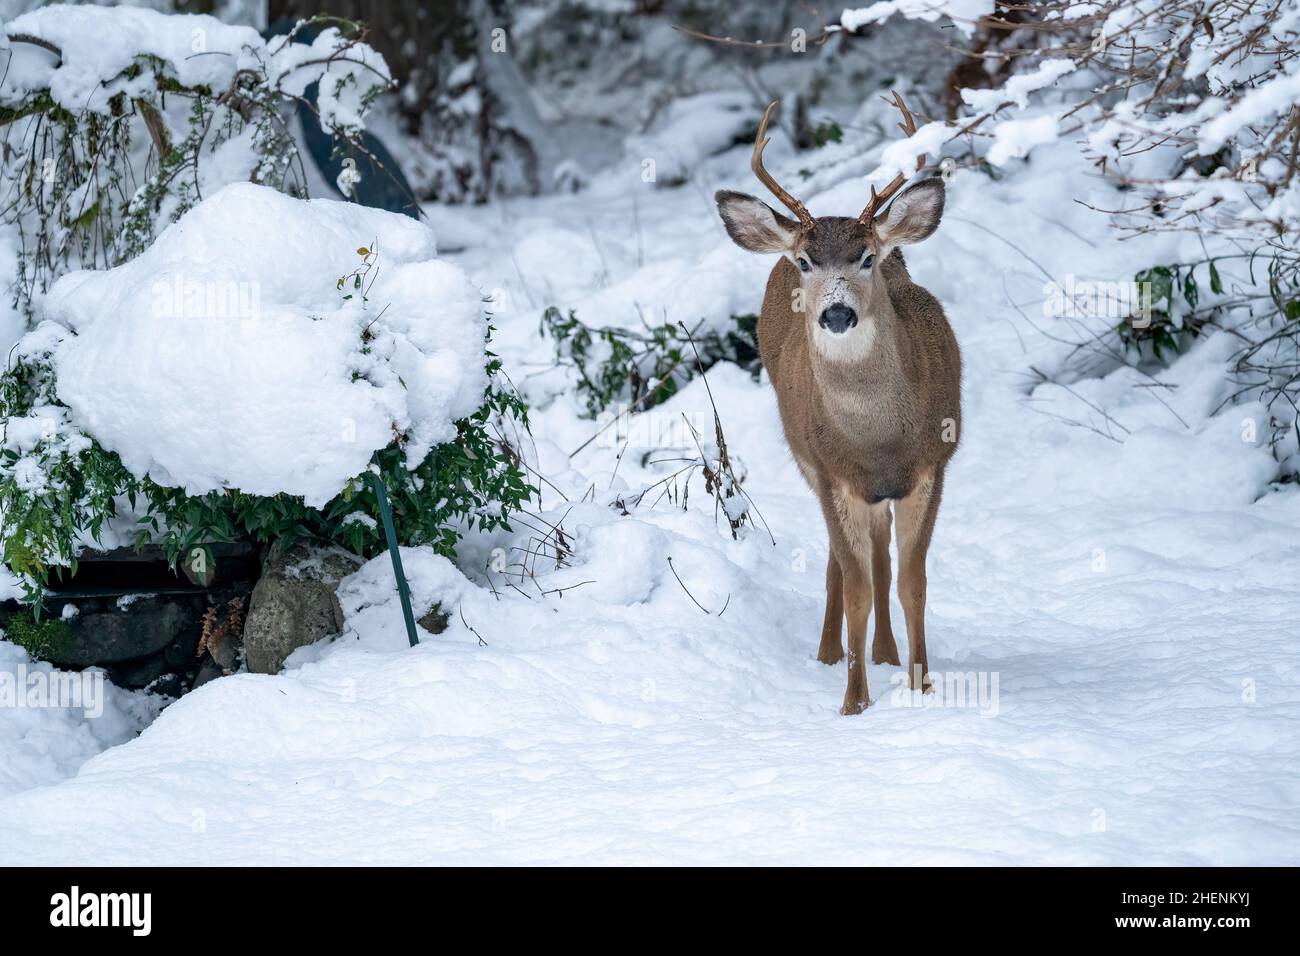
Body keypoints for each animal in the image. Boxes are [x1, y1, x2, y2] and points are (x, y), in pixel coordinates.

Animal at [715, 93, 961, 715]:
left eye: (867, 257)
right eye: (807, 262)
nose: (837, 313)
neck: (879, 441)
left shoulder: (933, 465)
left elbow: (911, 581)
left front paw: (921, 685)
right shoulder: (833, 472)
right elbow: (855, 587)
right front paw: (853, 702)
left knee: (879, 555)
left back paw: (886, 654)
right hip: (809, 461)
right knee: (842, 561)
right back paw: (831, 653)